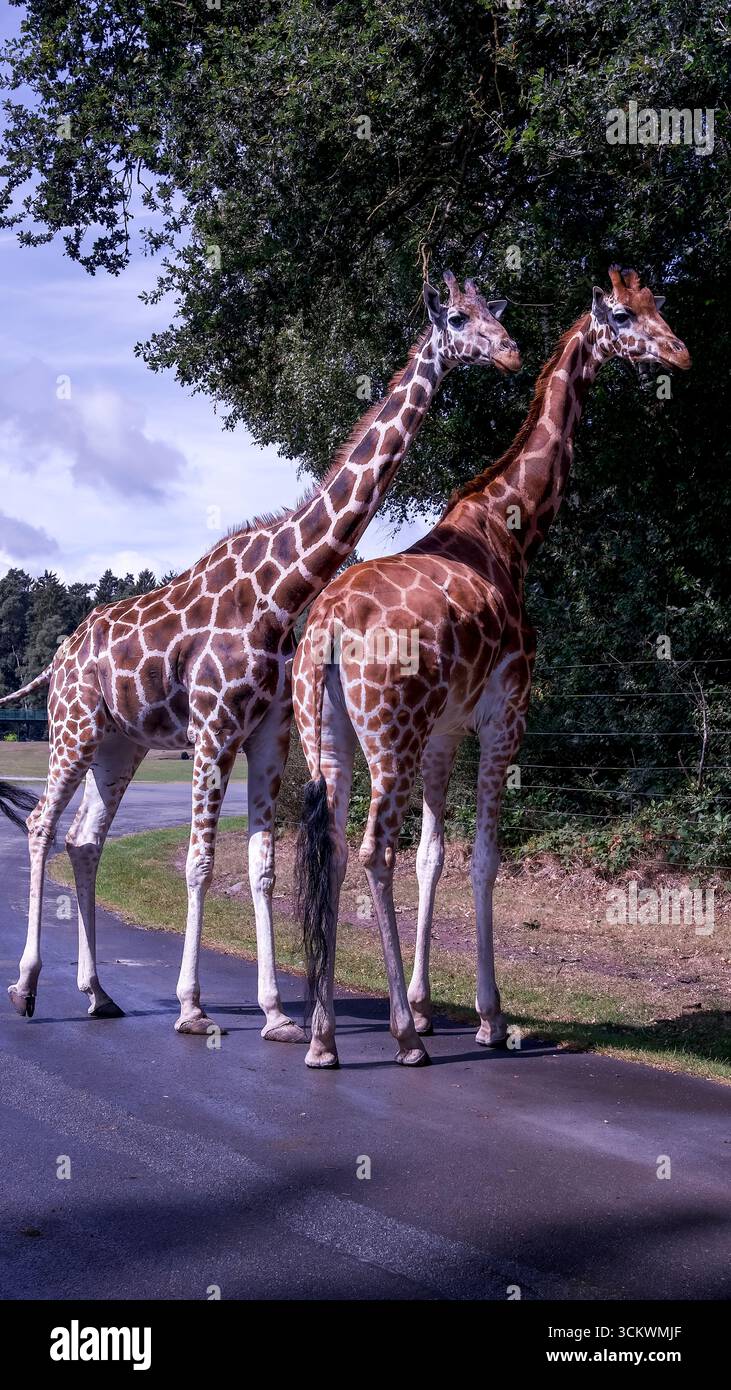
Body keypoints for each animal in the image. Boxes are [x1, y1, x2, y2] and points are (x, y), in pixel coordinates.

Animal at [1, 273, 520, 1039]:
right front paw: (192, 1007)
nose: (509, 352)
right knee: (40, 826)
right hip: (73, 728)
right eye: (458, 318)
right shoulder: (214, 730)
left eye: (493, 312)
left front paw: (276, 1012)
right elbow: (198, 862)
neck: (280, 592)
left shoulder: (268, 736)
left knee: (84, 840)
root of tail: (59, 658)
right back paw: (28, 988)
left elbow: (261, 867)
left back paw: (98, 993)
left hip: (119, 744)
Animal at [293, 265, 690, 1068]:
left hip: (330, 737)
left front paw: (426, 1000)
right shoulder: (507, 713)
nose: (681, 355)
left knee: (334, 850)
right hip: (390, 734)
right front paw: (487, 1015)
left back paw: (323, 1037)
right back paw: (401, 1038)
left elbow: (434, 855)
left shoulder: (446, 731)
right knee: (372, 850)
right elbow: (482, 860)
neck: (511, 531)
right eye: (623, 316)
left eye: (659, 307)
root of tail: (324, 628)